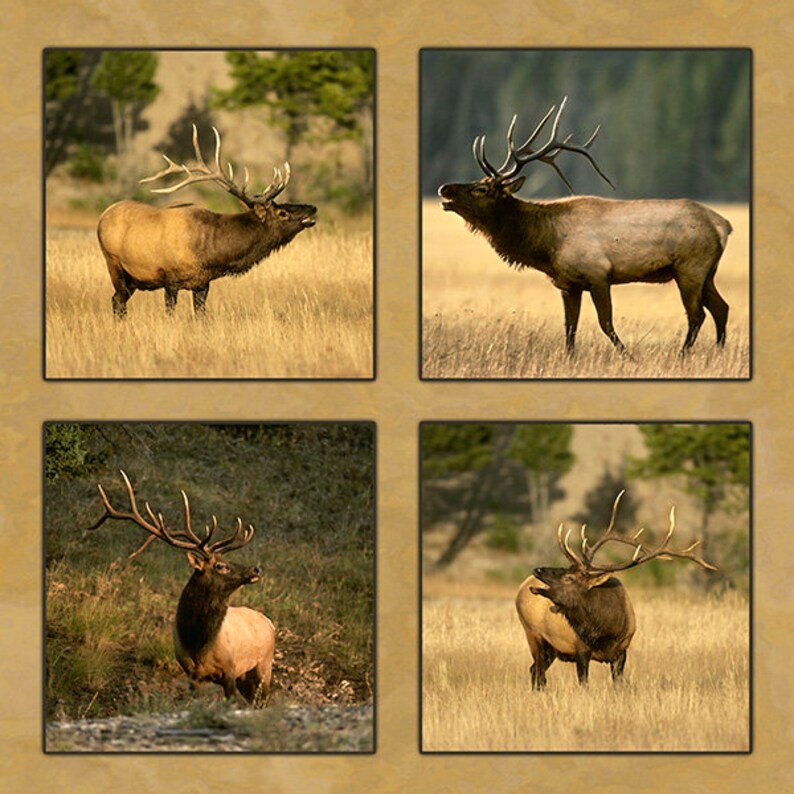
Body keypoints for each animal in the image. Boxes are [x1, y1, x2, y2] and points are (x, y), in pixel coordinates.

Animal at [88, 470, 276, 706]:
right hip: (248, 676)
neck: (197, 644)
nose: (255, 569)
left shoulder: (230, 670)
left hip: (264, 666)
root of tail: (270, 623)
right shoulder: (193, 674)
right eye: (220, 565)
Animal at [97, 125, 317, 317]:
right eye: (282, 213)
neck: (211, 252)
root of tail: (102, 216)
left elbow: (201, 315)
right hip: (114, 264)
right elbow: (170, 314)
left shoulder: (202, 283)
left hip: (133, 280)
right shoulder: (170, 280)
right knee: (118, 301)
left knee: (117, 300)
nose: (313, 208)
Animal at [438, 98, 732, 355]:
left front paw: (628, 356)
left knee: (697, 315)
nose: (444, 188)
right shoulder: (568, 284)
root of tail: (723, 225)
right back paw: (717, 352)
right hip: (707, 272)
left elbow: (606, 324)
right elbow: (570, 327)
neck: (546, 245)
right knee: (722, 308)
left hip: (690, 268)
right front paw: (570, 357)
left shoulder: (598, 274)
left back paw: (683, 354)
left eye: (481, 189)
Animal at [515, 491, 717, 689]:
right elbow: (584, 685)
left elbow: (618, 685)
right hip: (533, 635)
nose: (538, 570)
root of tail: (521, 588)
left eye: (569, 577)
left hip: (551, 649)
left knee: (534, 671)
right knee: (539, 674)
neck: (604, 630)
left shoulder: (622, 651)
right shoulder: (580, 650)